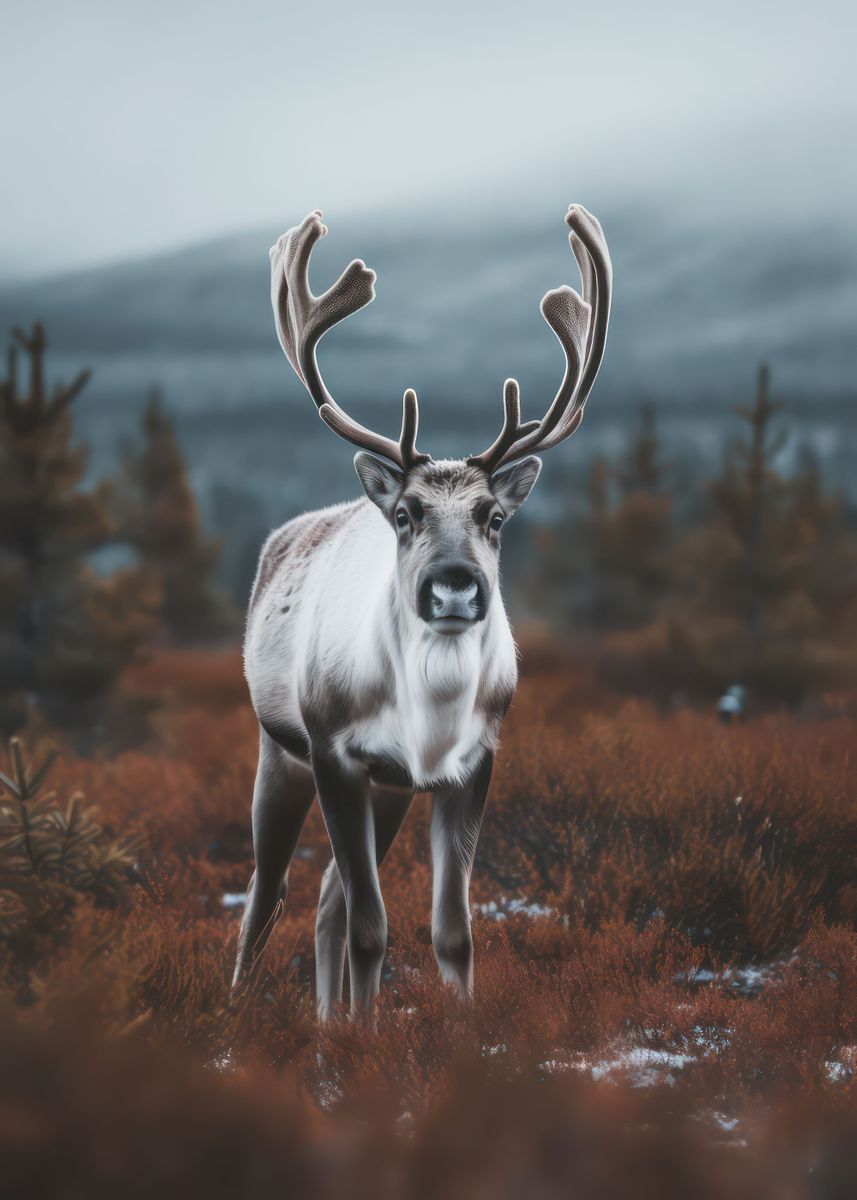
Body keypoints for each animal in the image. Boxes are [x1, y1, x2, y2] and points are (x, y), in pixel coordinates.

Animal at [234, 204, 612, 1019]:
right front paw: (365, 1041)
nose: (454, 585)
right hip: (282, 753)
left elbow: (452, 932)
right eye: (405, 514)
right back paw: (239, 1011)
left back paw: (326, 1022)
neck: (429, 708)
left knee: (326, 898)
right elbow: (372, 928)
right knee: (268, 896)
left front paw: (453, 1032)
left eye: (494, 517)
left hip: (391, 789)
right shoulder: (334, 752)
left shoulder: (469, 764)